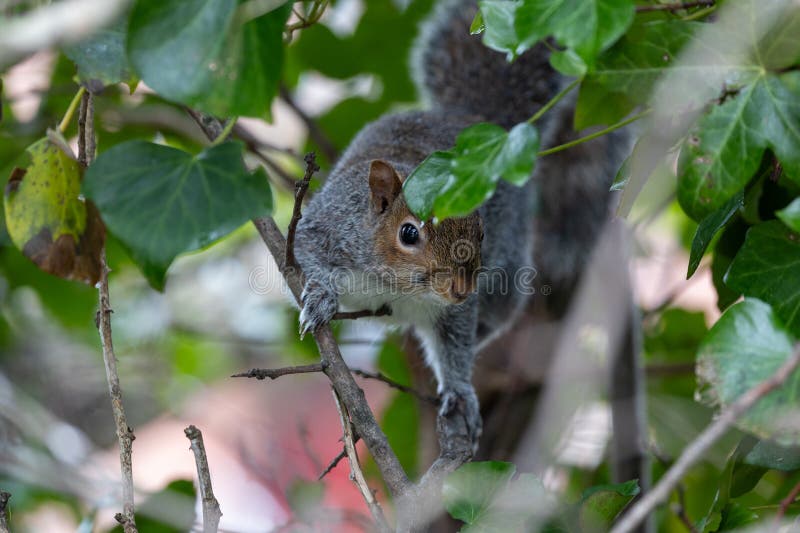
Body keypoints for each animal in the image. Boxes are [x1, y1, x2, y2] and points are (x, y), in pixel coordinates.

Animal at [294, 0, 630, 451]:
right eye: (409, 233)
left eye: (482, 231)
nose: (460, 288)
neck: (395, 282)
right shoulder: (327, 230)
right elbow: (303, 253)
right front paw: (320, 298)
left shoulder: (456, 309)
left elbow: (454, 343)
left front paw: (459, 392)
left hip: (507, 273)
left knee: (495, 317)